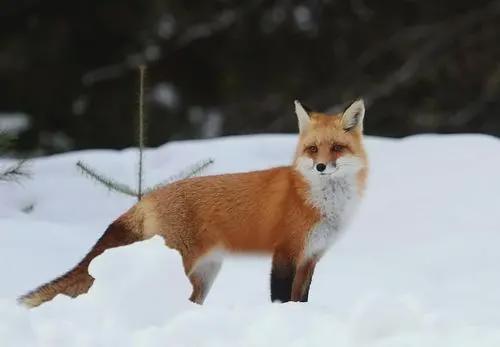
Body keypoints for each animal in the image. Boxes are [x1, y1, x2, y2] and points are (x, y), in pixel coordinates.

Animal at [18, 99, 368, 308]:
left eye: (337, 148)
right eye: (313, 149)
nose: (321, 167)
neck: (321, 202)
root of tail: (148, 197)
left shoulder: (310, 257)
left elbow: (301, 299)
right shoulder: (284, 254)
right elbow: (280, 299)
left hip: (205, 275)